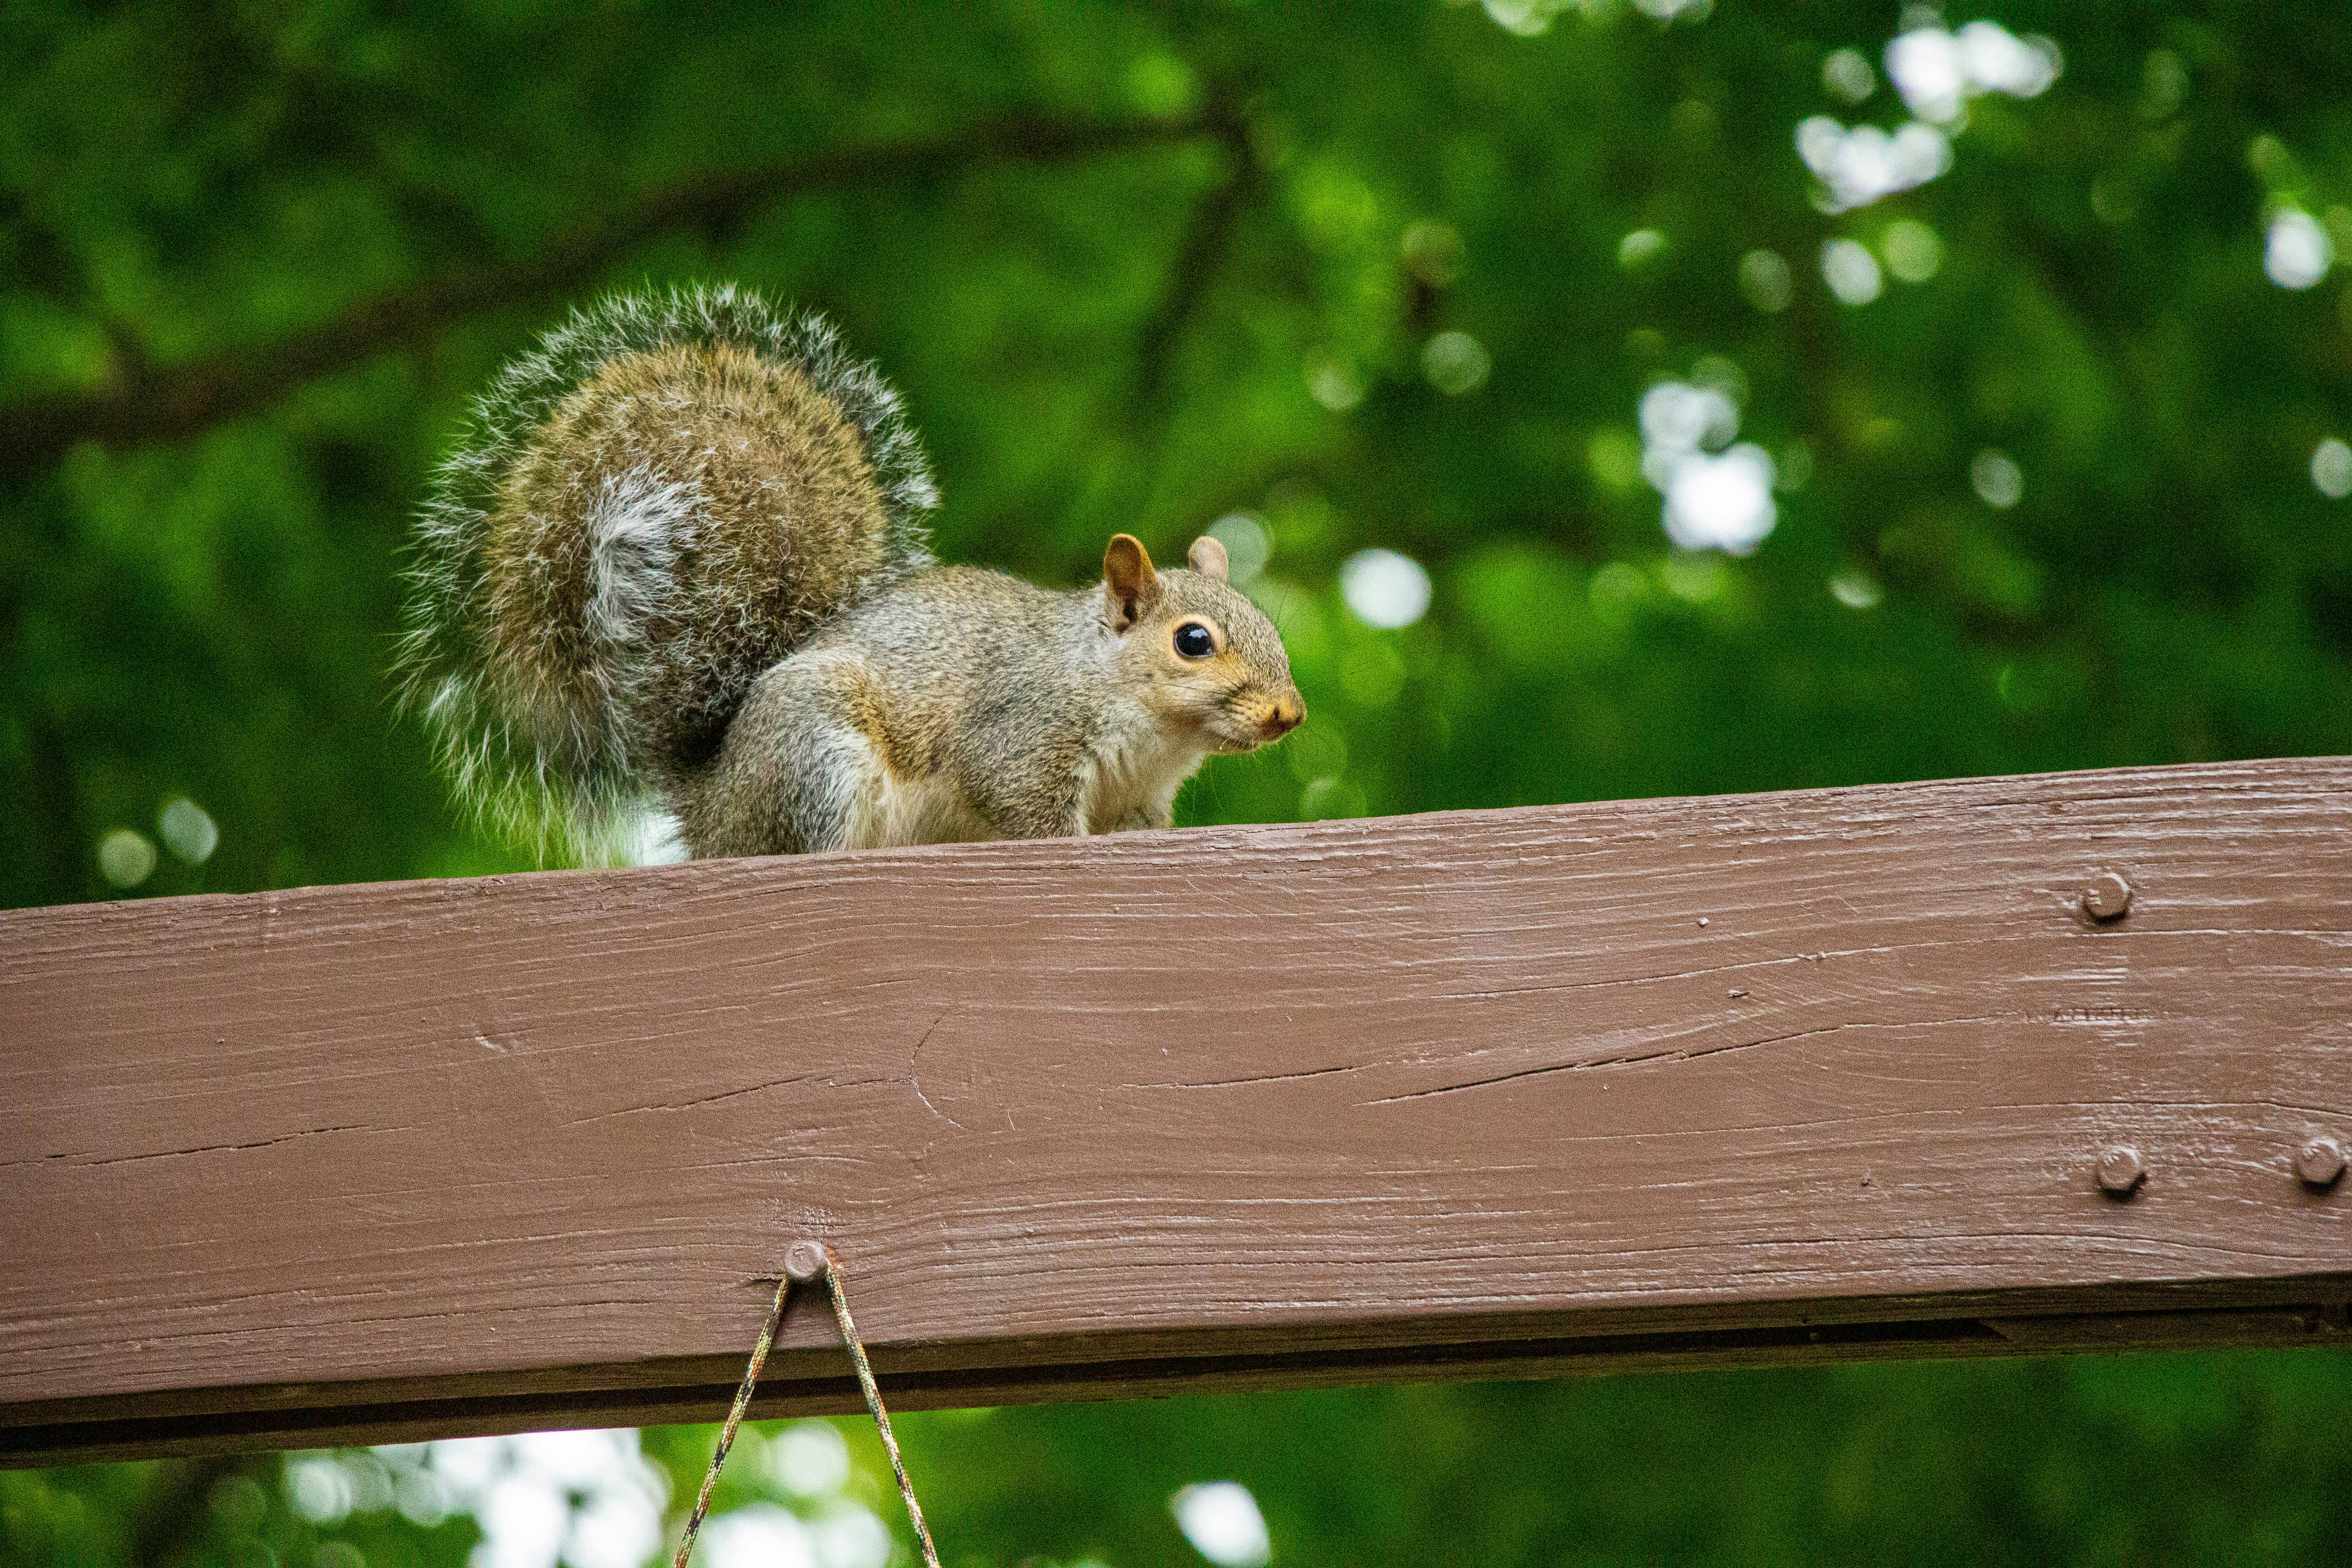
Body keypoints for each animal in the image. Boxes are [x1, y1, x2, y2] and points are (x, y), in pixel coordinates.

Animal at [397, 284, 1304, 861]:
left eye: (1270, 628)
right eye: (1193, 641)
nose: (1288, 714)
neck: (1146, 722)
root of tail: (712, 808)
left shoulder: (1143, 800)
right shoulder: (1023, 734)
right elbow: (1023, 806)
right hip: (818, 753)